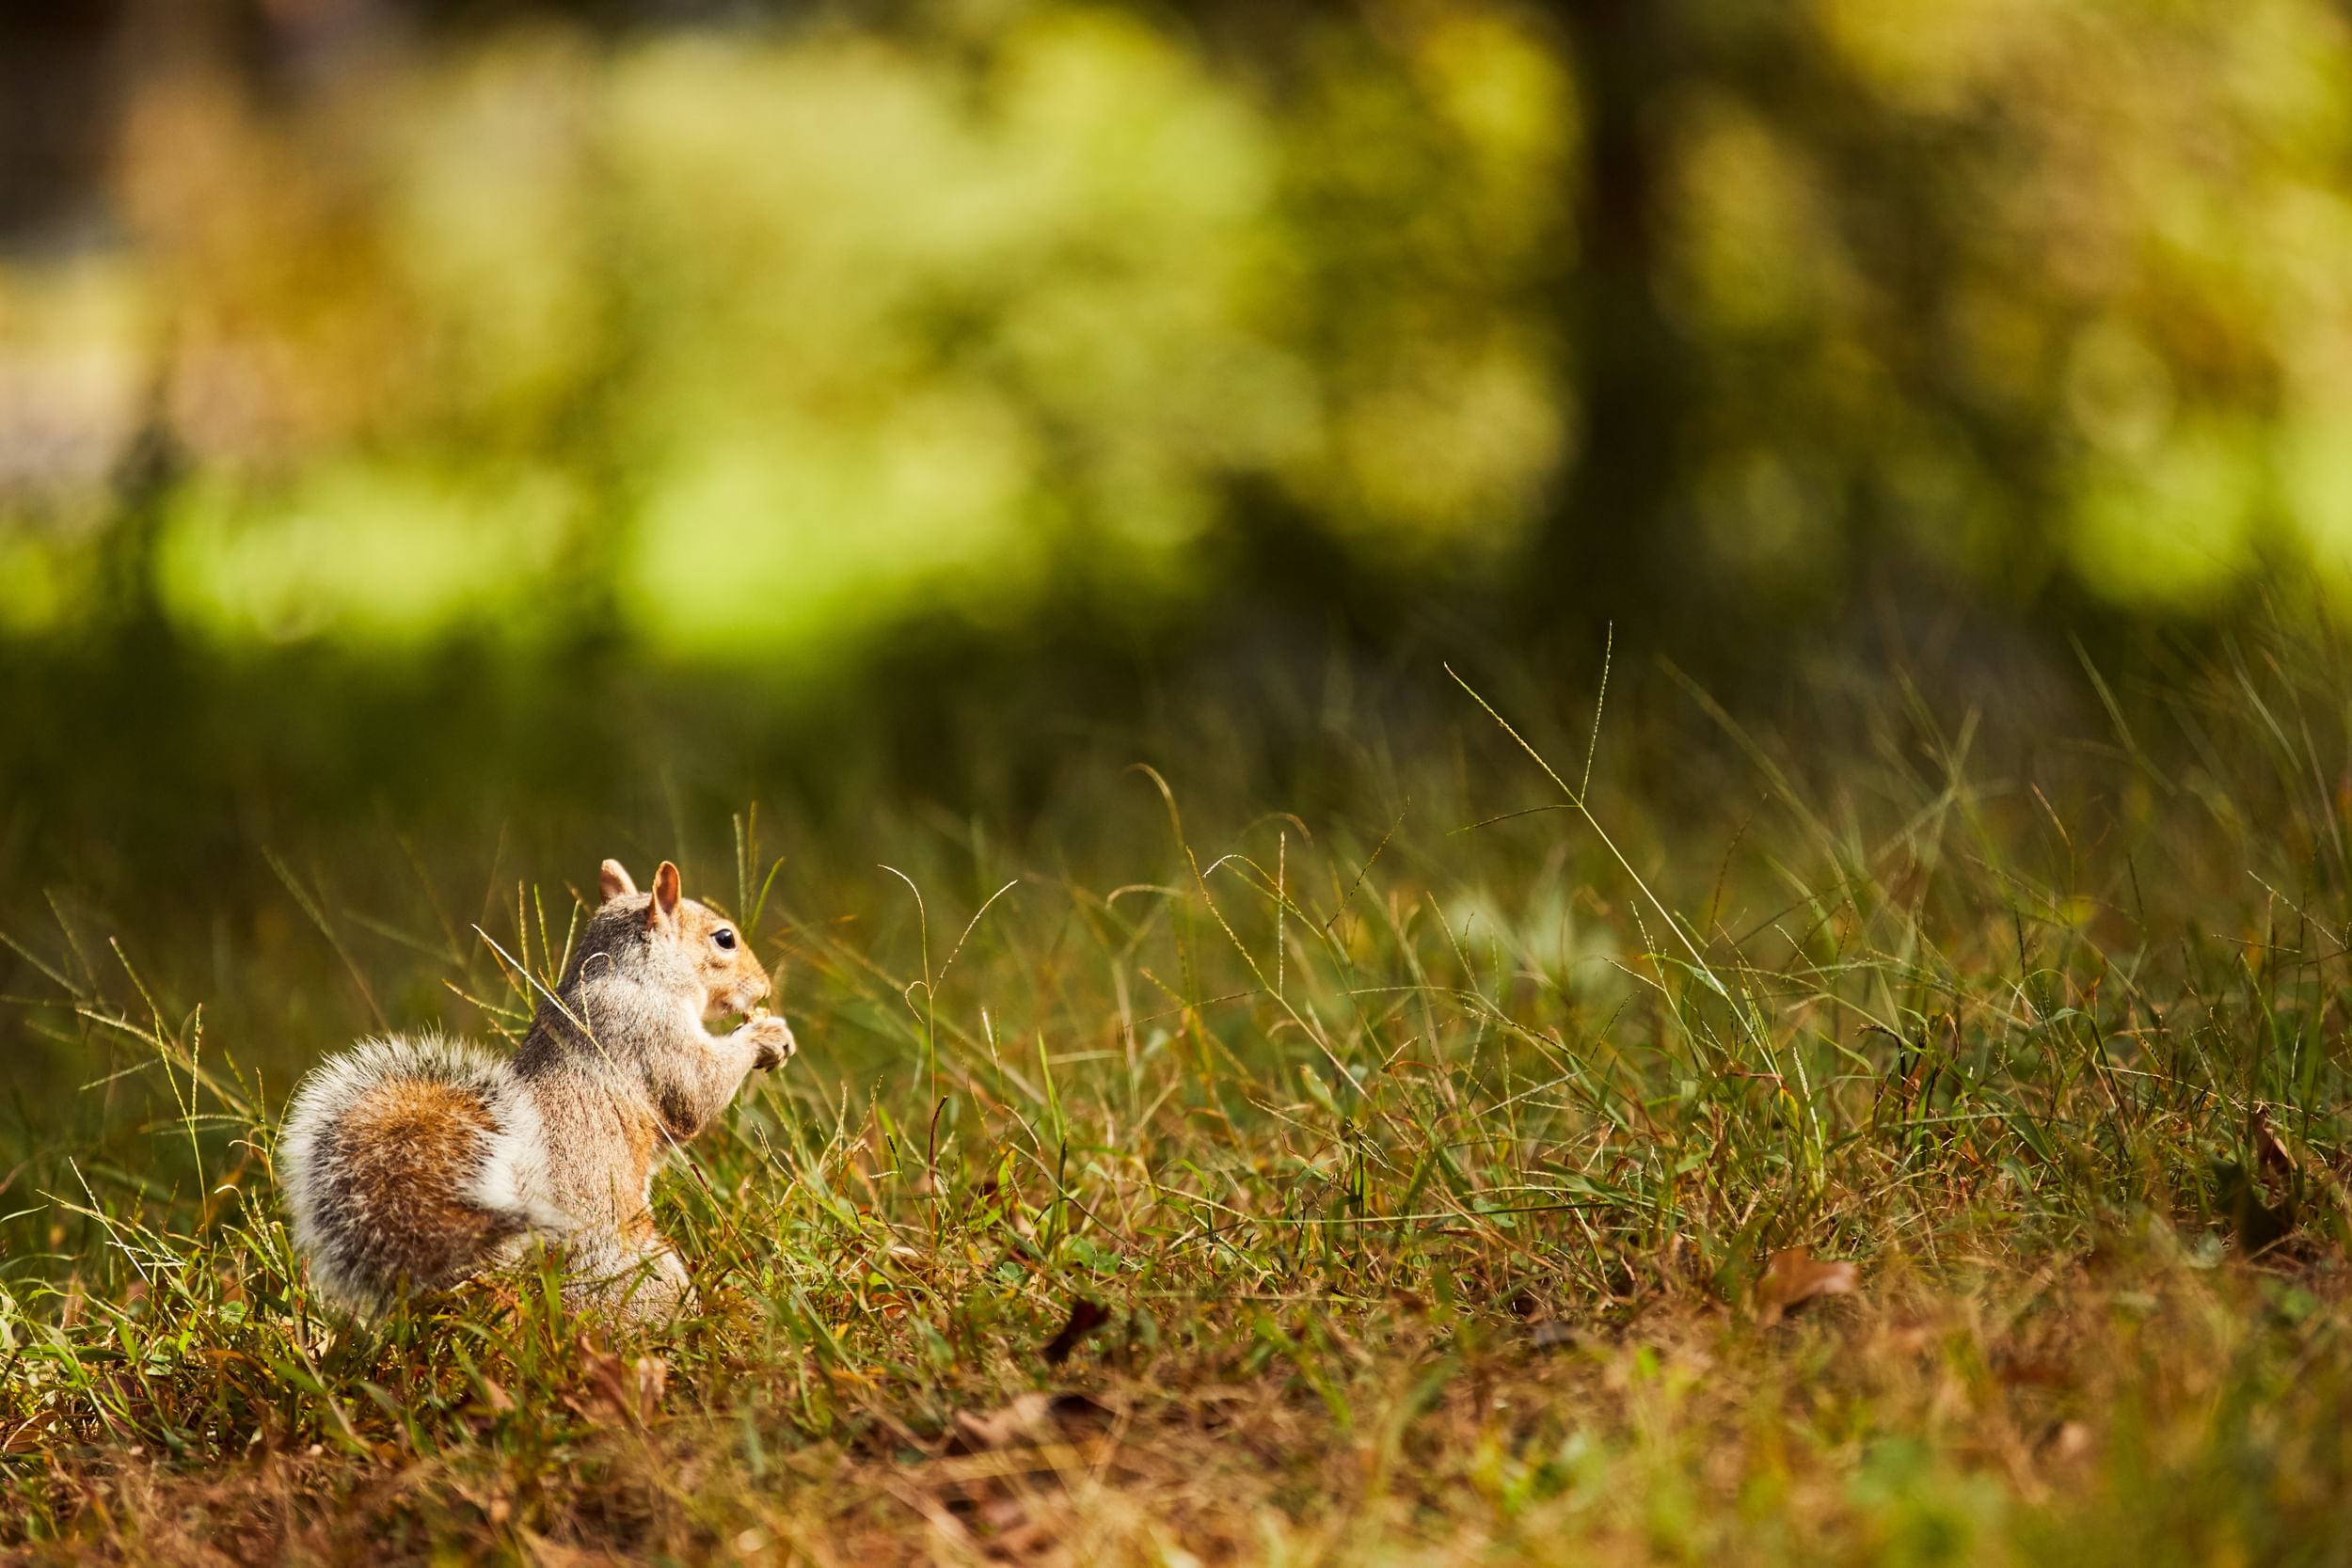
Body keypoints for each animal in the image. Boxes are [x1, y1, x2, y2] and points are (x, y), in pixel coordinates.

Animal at [277, 858, 795, 1323]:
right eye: (724, 938)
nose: (763, 986)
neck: (631, 974)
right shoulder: (646, 1034)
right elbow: (696, 1093)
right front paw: (765, 1035)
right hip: (631, 1271)